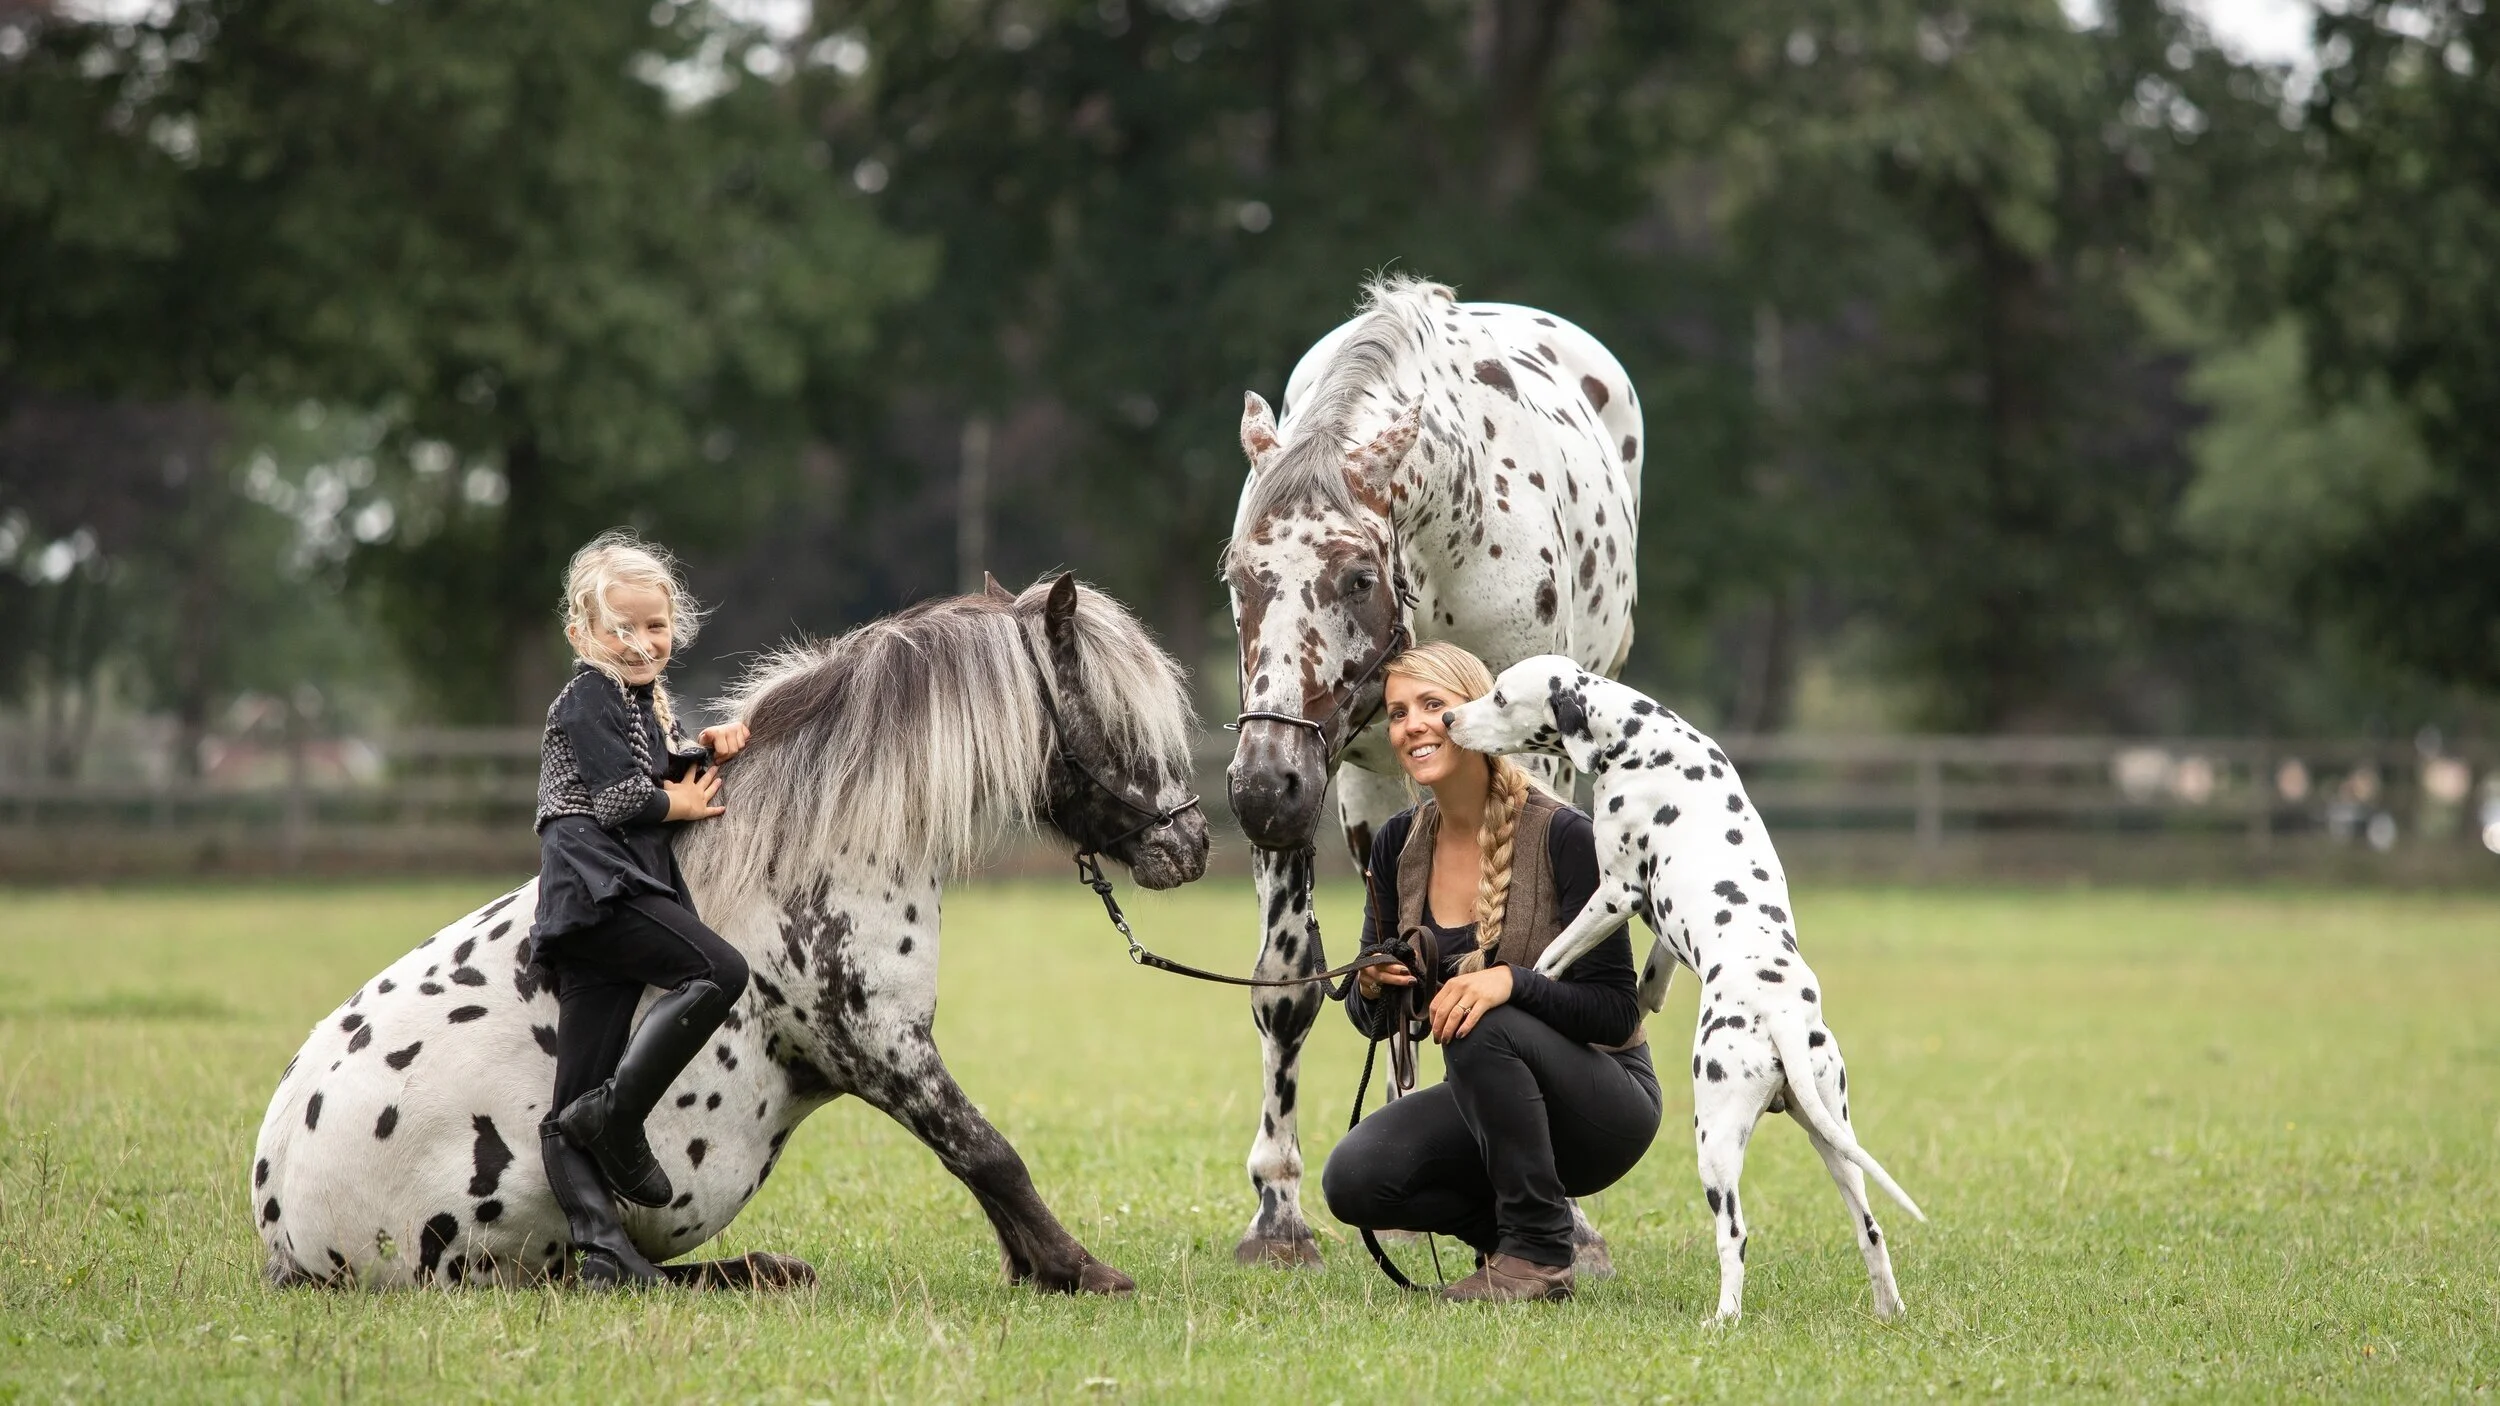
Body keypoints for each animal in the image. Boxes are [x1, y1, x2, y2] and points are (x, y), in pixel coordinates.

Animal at [250, 573, 1207, 1293]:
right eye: (1123, 721)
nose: (1191, 842)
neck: (811, 850)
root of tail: (283, 1225)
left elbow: (976, 1157)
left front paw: (1037, 1265)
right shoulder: (877, 1044)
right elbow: (985, 1151)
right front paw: (1079, 1270)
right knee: (599, 1271)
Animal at [1220, 274, 1645, 1267]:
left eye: (1354, 578)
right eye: (1237, 576)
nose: (1259, 787)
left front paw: (1570, 1224)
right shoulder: (1319, 778)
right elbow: (1292, 984)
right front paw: (1278, 1216)